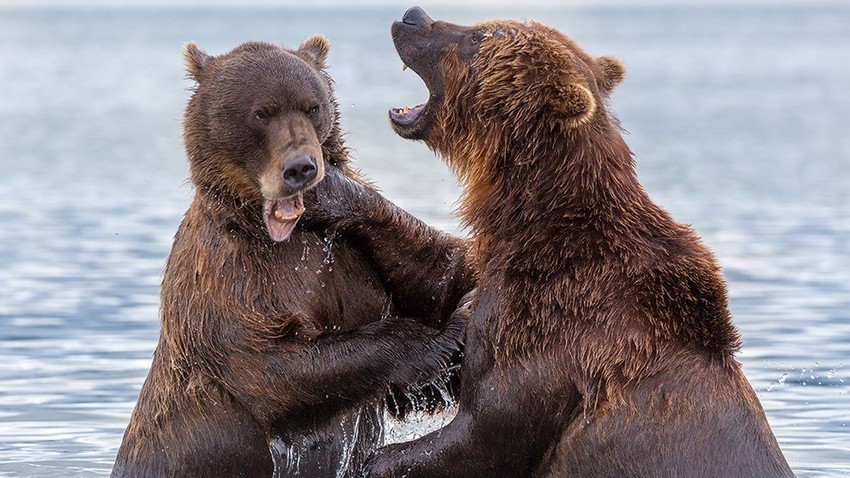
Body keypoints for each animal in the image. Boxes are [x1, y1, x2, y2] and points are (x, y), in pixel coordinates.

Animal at [111, 36, 476, 478]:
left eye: (312, 106)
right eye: (261, 113)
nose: (300, 167)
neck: (278, 234)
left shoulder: (348, 260)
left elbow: (439, 275)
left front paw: (334, 193)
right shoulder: (225, 279)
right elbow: (275, 368)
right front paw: (448, 332)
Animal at [305, 7, 795, 477]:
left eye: (478, 38)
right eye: (481, 25)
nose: (412, 15)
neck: (535, 222)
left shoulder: (557, 335)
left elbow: (485, 436)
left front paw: (371, 461)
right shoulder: (498, 270)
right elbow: (440, 278)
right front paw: (330, 191)